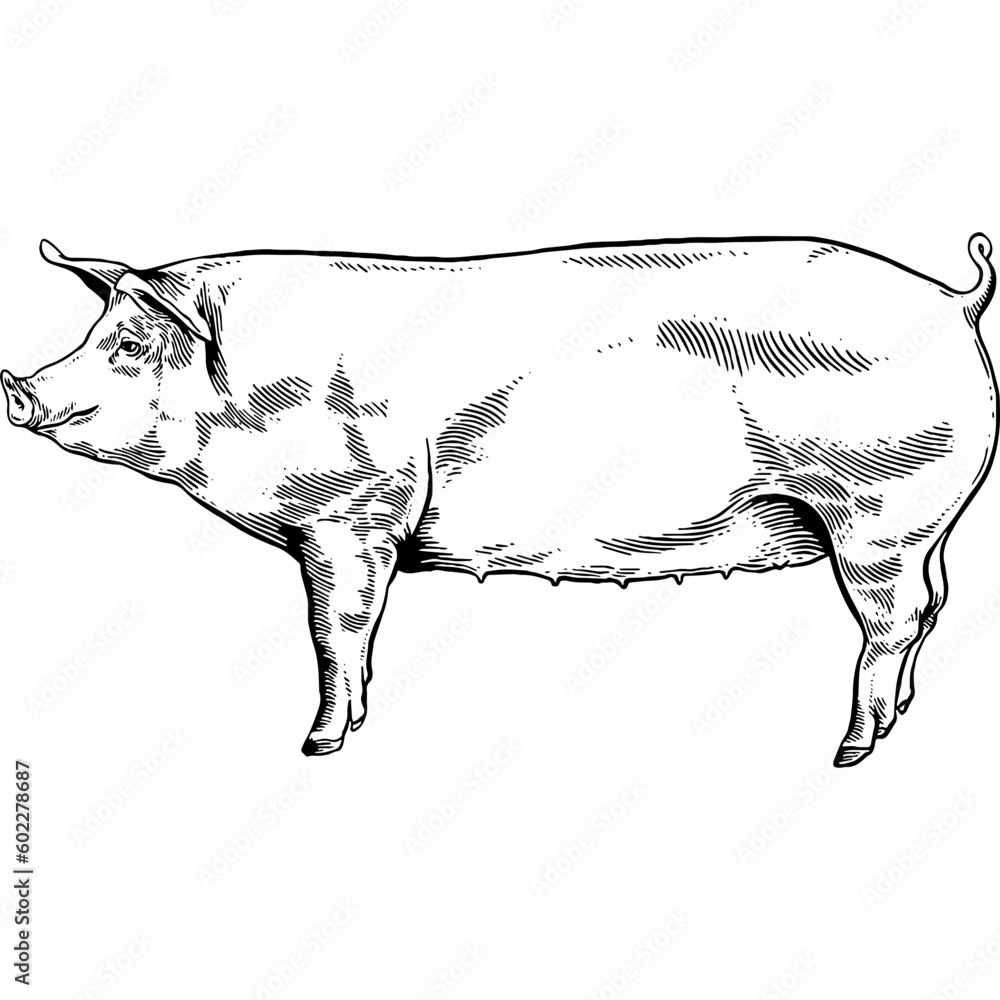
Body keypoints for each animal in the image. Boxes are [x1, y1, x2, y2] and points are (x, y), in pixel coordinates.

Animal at [2, 234, 995, 766]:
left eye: (131, 344)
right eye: (95, 331)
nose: (19, 388)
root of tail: (955, 298)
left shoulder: (351, 515)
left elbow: (333, 632)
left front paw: (318, 746)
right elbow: (353, 637)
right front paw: (351, 727)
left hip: (876, 511)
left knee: (893, 621)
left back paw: (850, 749)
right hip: (920, 527)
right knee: (933, 608)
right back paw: (893, 723)